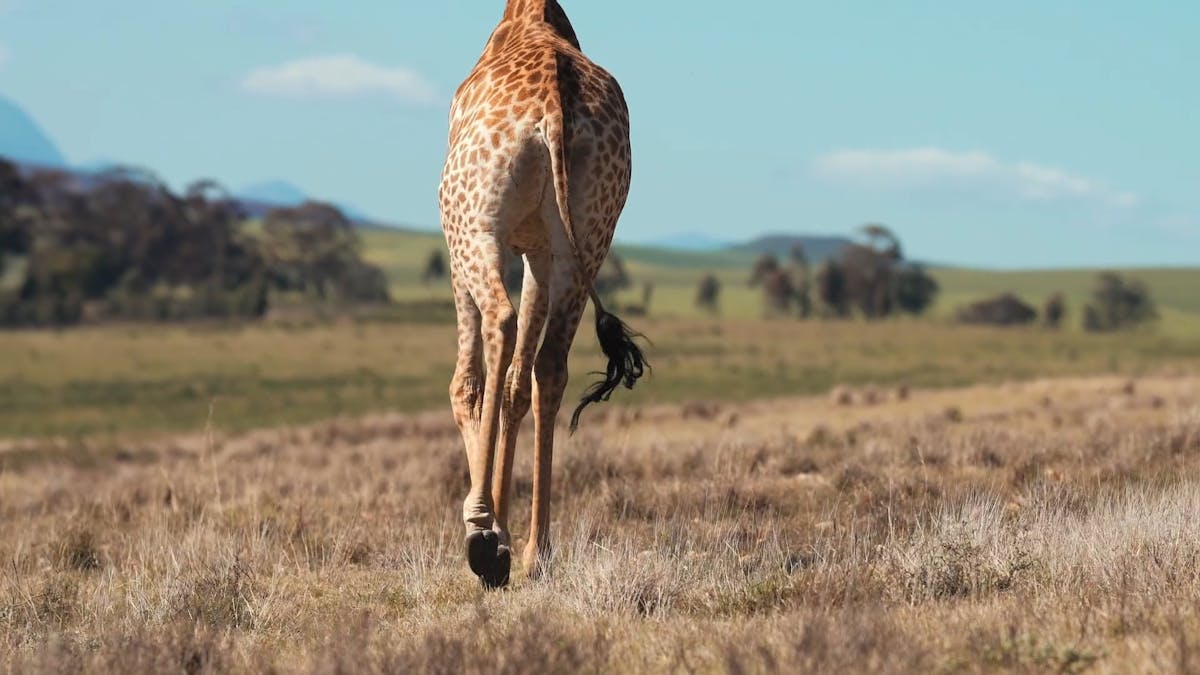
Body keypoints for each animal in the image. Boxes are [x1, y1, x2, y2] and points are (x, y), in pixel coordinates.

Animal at [438, 0, 647, 588]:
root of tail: (554, 110)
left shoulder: (467, 241)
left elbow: (467, 385)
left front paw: (491, 531)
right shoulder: (539, 249)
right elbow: (517, 386)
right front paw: (511, 539)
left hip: (473, 226)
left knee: (499, 324)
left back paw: (482, 535)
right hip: (591, 236)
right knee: (550, 364)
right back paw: (538, 551)